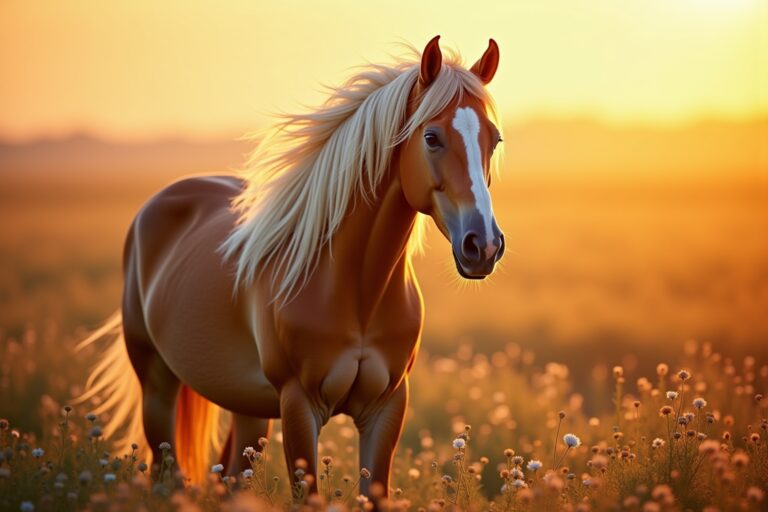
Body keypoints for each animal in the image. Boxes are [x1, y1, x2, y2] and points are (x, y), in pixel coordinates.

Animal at [77, 35, 505, 499]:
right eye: (431, 136)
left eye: (495, 139)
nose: (483, 245)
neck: (355, 291)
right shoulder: (299, 405)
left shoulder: (387, 406)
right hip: (157, 385)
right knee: (164, 470)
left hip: (246, 407)